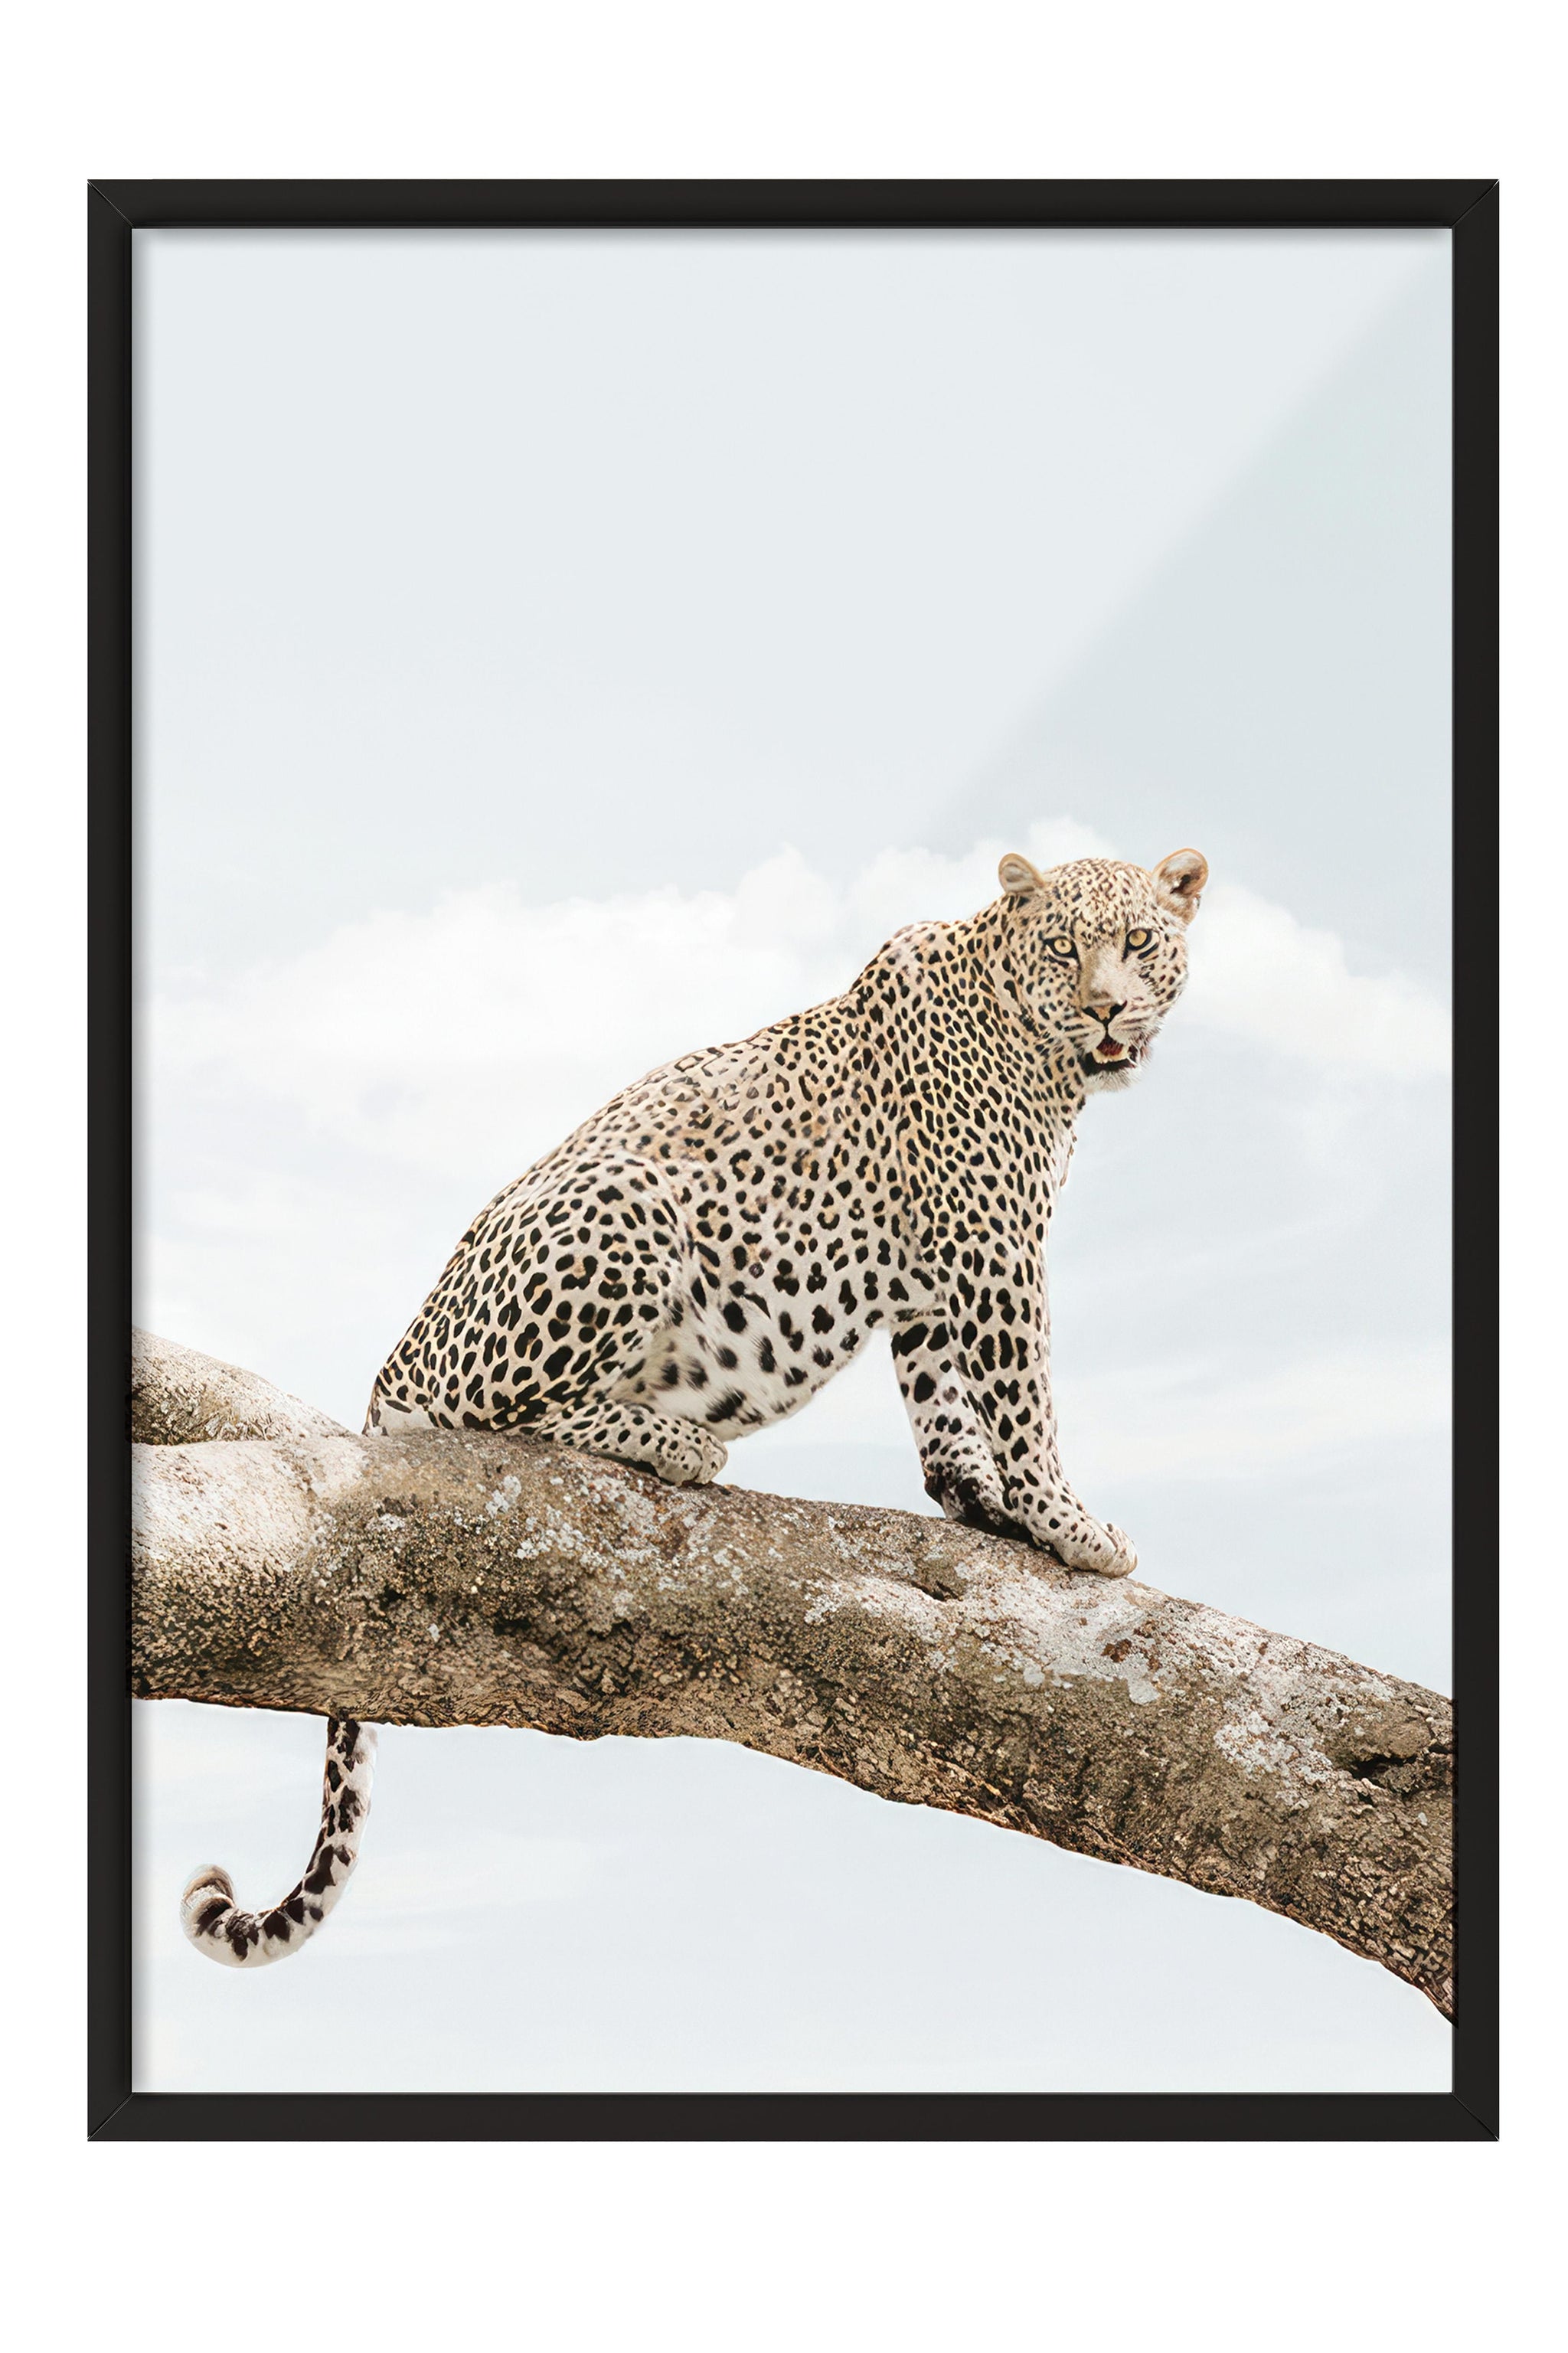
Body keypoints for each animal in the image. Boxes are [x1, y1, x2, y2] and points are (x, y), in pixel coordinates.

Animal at [181, 844, 1206, 1967]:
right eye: (1063, 946)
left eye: (1139, 941)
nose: (1107, 1007)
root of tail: (382, 1381)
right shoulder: (992, 1252)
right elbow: (1025, 1399)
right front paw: (1071, 1526)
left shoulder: (937, 1275)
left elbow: (942, 1406)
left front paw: (979, 1504)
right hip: (627, 1203)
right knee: (497, 1408)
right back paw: (674, 1438)